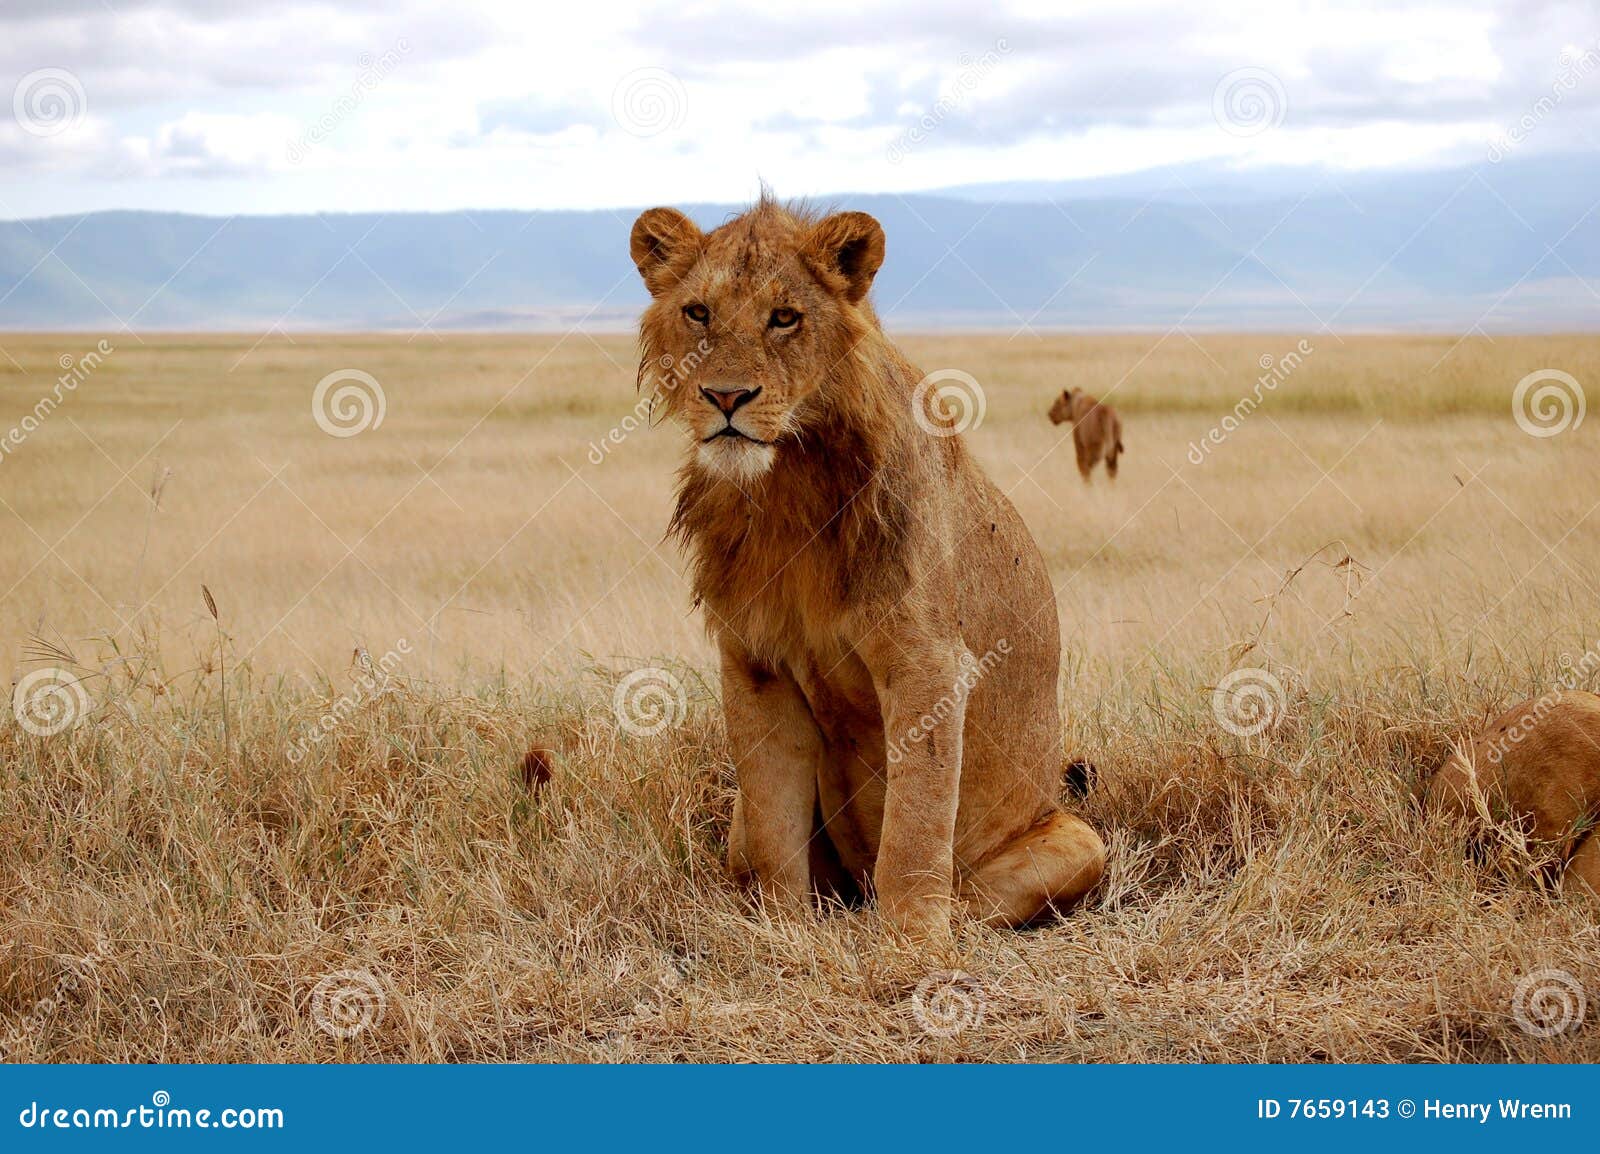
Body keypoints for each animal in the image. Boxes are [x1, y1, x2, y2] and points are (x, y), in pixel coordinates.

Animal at [629, 195, 1106, 943]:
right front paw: (785, 930)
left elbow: (914, 827)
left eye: (784, 316)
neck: (786, 485)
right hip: (737, 830)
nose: (726, 397)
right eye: (698, 312)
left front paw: (911, 944)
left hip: (1080, 841)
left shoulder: (929, 663)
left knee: (969, 891)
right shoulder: (754, 665)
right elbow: (774, 824)